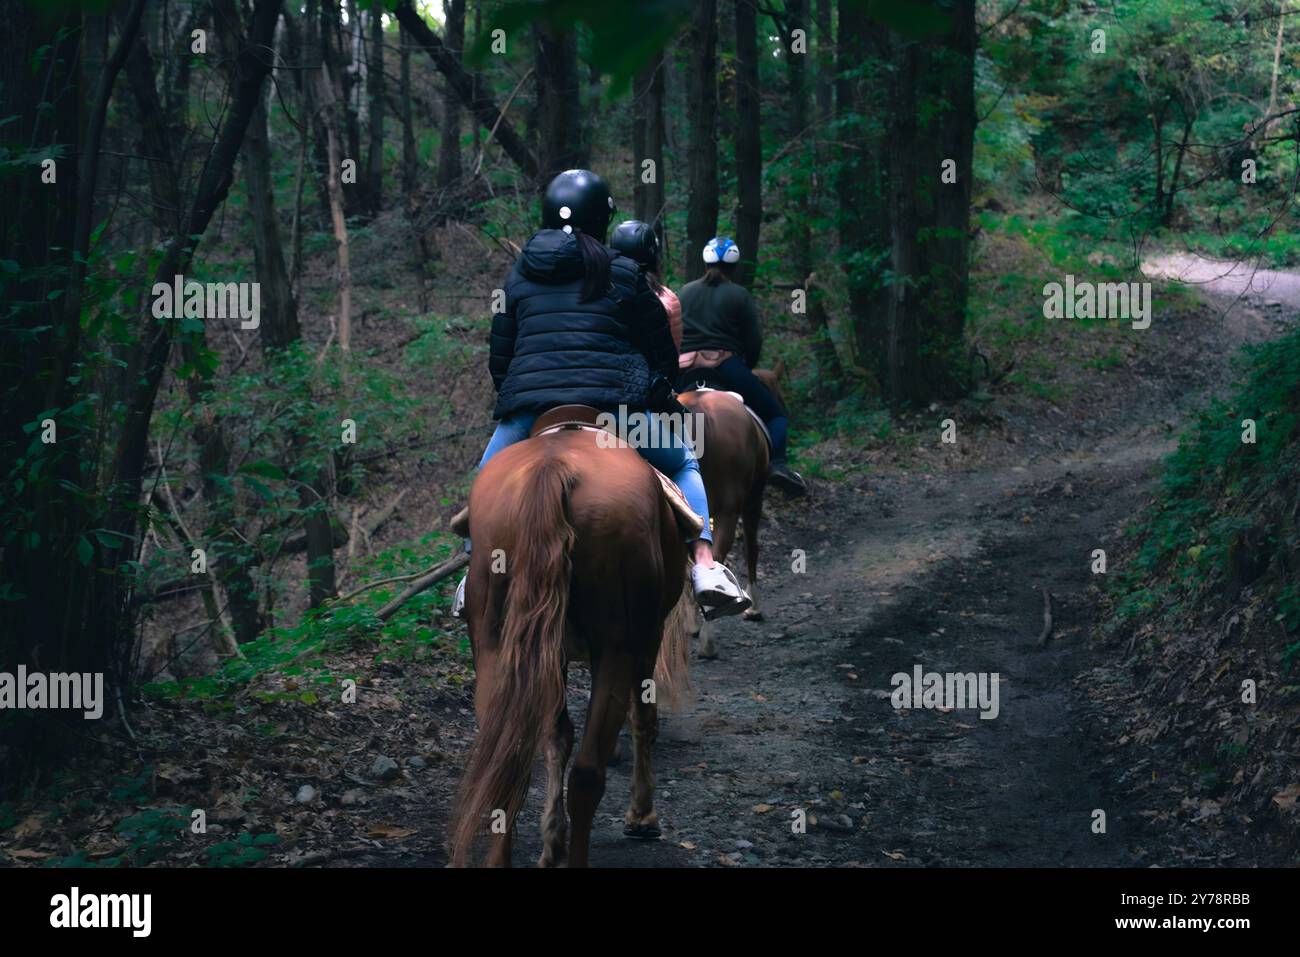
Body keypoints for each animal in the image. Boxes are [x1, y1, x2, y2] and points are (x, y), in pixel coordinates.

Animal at [450, 407, 694, 867]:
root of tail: (552, 469)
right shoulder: (647, 636)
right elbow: (641, 718)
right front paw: (642, 816)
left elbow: (555, 736)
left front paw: (551, 844)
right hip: (617, 647)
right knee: (587, 772)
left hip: (493, 647)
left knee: (507, 762)